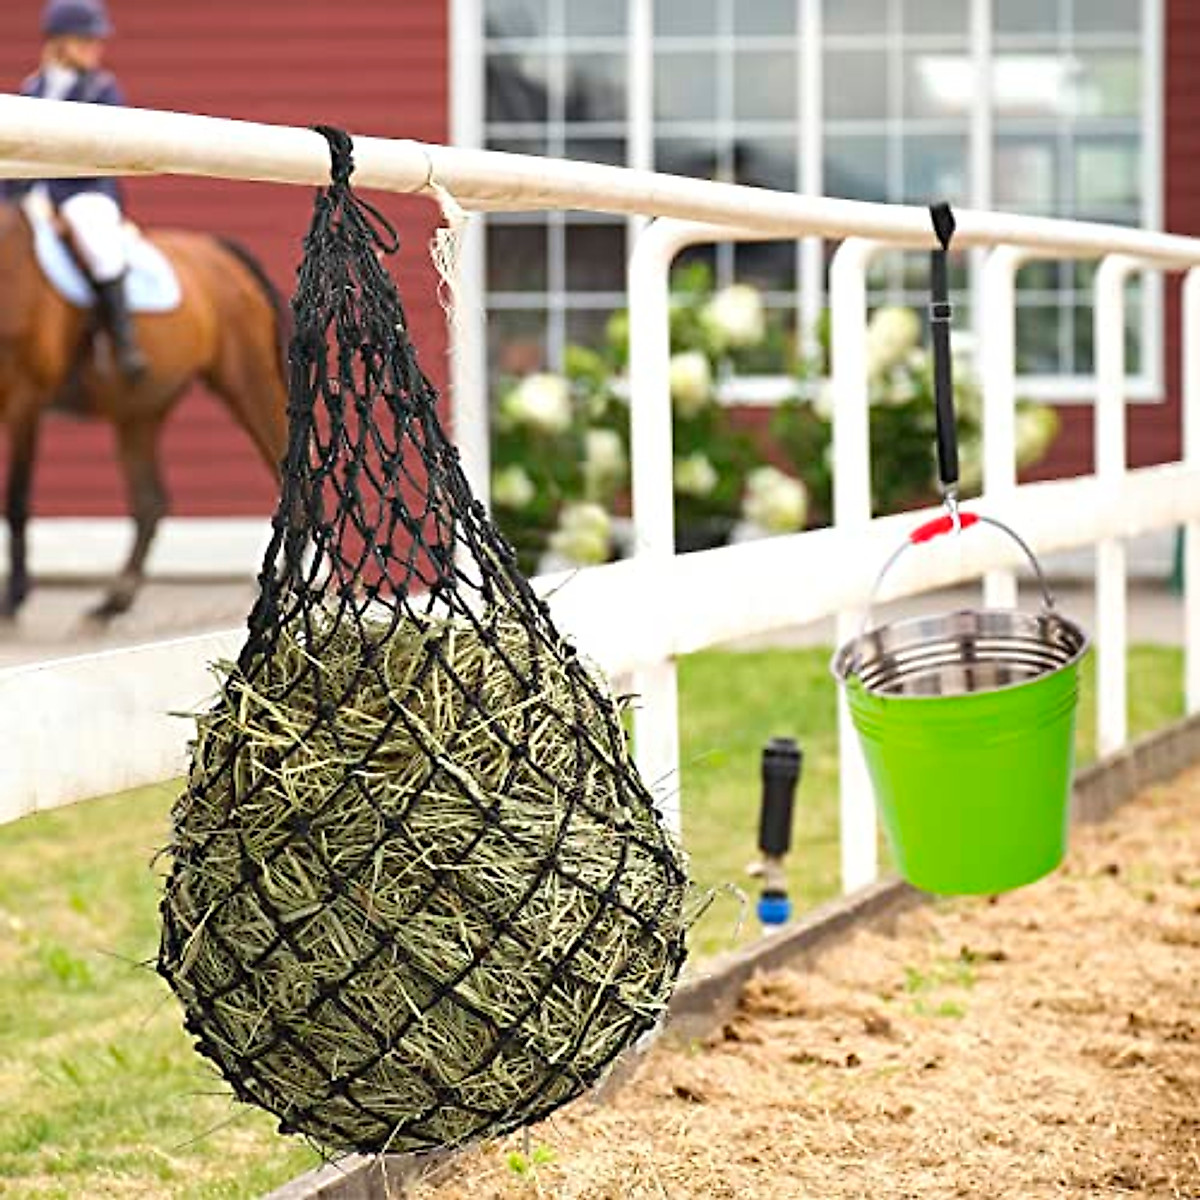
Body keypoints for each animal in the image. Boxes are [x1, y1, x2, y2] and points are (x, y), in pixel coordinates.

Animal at [0, 200, 289, 620]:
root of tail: (218, 251)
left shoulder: (26, 398)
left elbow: (17, 500)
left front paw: (15, 596)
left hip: (250, 382)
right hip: (140, 411)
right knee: (150, 501)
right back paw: (117, 598)